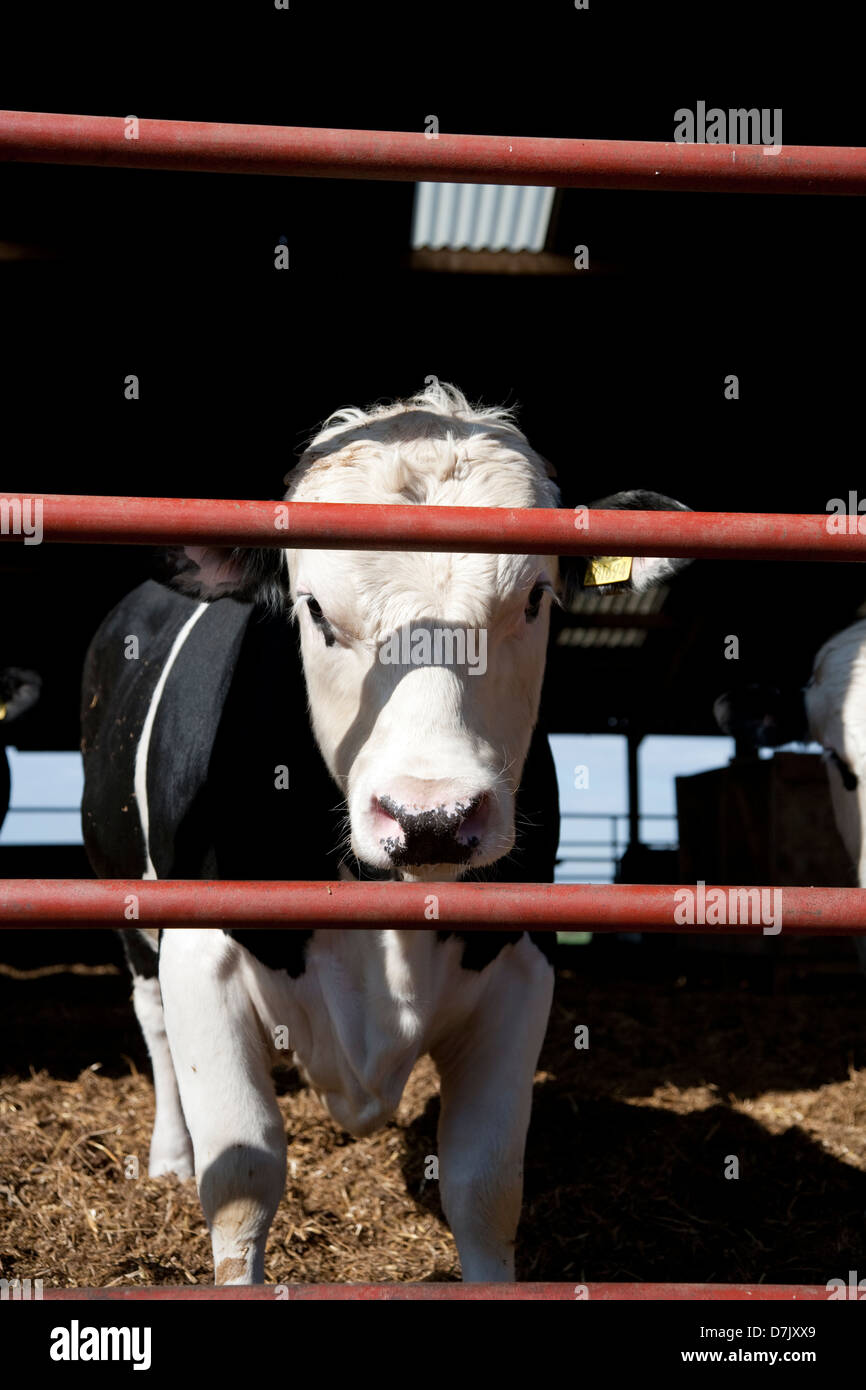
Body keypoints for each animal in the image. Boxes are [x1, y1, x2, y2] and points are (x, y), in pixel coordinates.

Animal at [81, 381, 686, 1284]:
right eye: (314, 609)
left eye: (535, 597)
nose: (431, 818)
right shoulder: (199, 950)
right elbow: (242, 1177)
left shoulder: (524, 961)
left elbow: (483, 1186)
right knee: (151, 1023)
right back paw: (169, 1157)